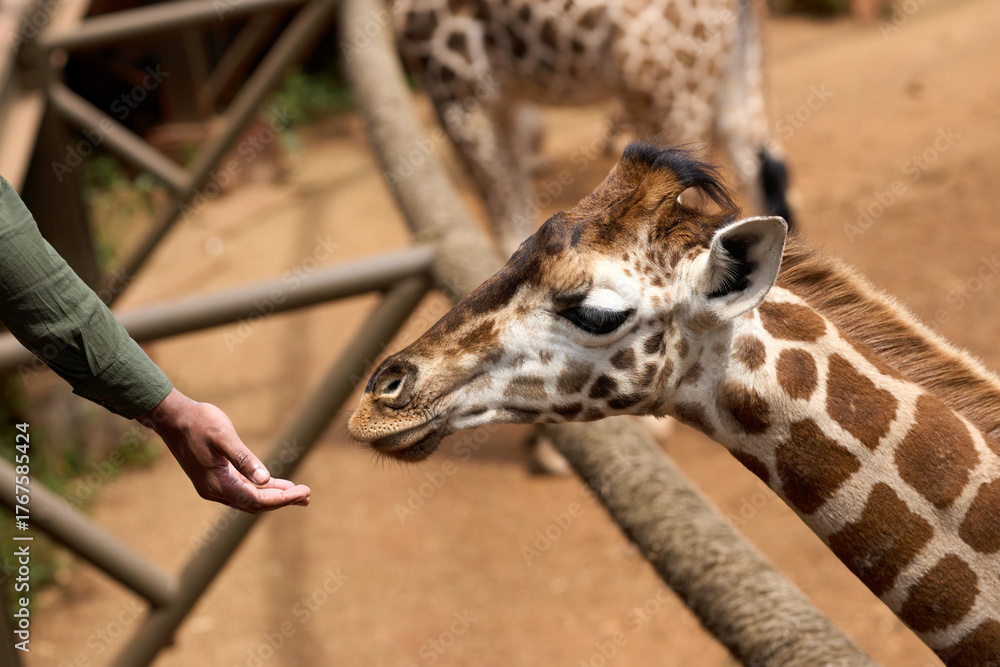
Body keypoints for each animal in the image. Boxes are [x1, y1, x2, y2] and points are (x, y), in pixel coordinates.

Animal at [391, 0, 793, 255]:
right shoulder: (506, 98)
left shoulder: (456, 86)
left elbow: (507, 223)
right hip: (727, 72)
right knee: (759, 178)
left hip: (664, 92)